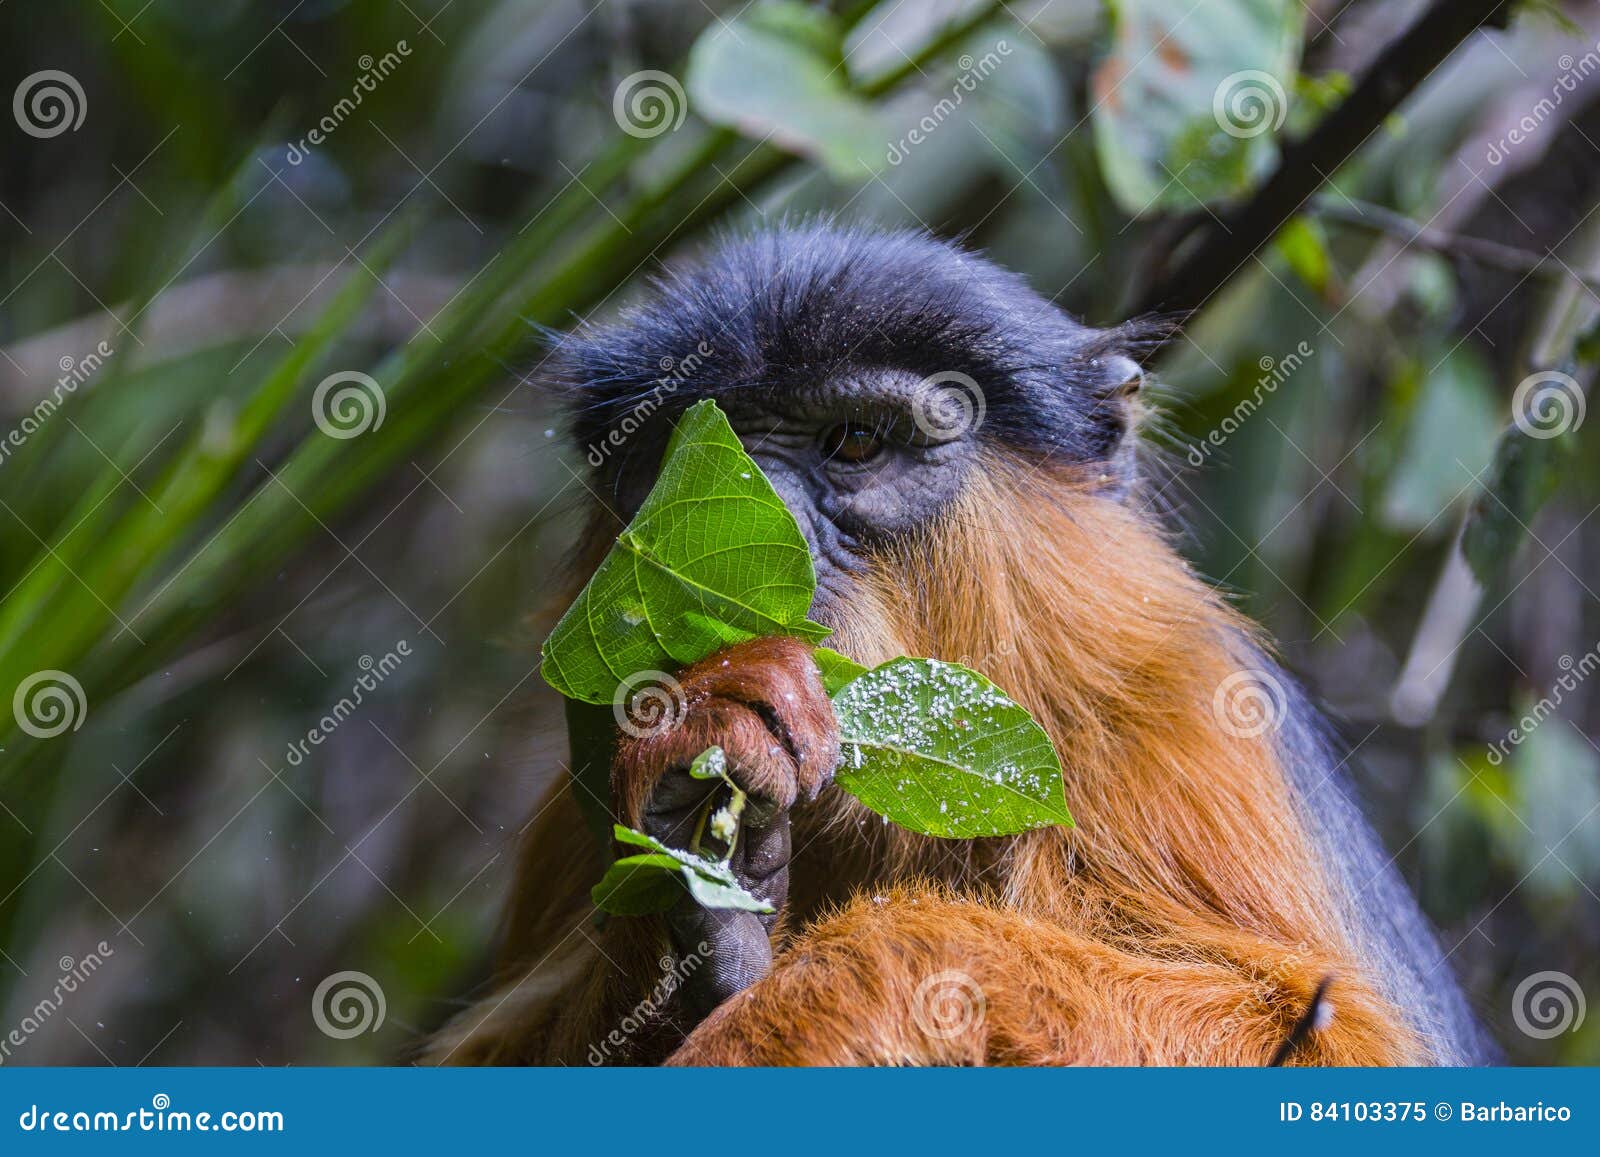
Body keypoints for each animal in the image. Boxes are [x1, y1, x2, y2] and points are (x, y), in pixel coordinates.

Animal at [422, 222, 1497, 1066]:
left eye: (854, 442)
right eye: (695, 455)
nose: (764, 543)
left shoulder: (1177, 706)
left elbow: (1330, 1039)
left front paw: (824, 990)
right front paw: (699, 836)